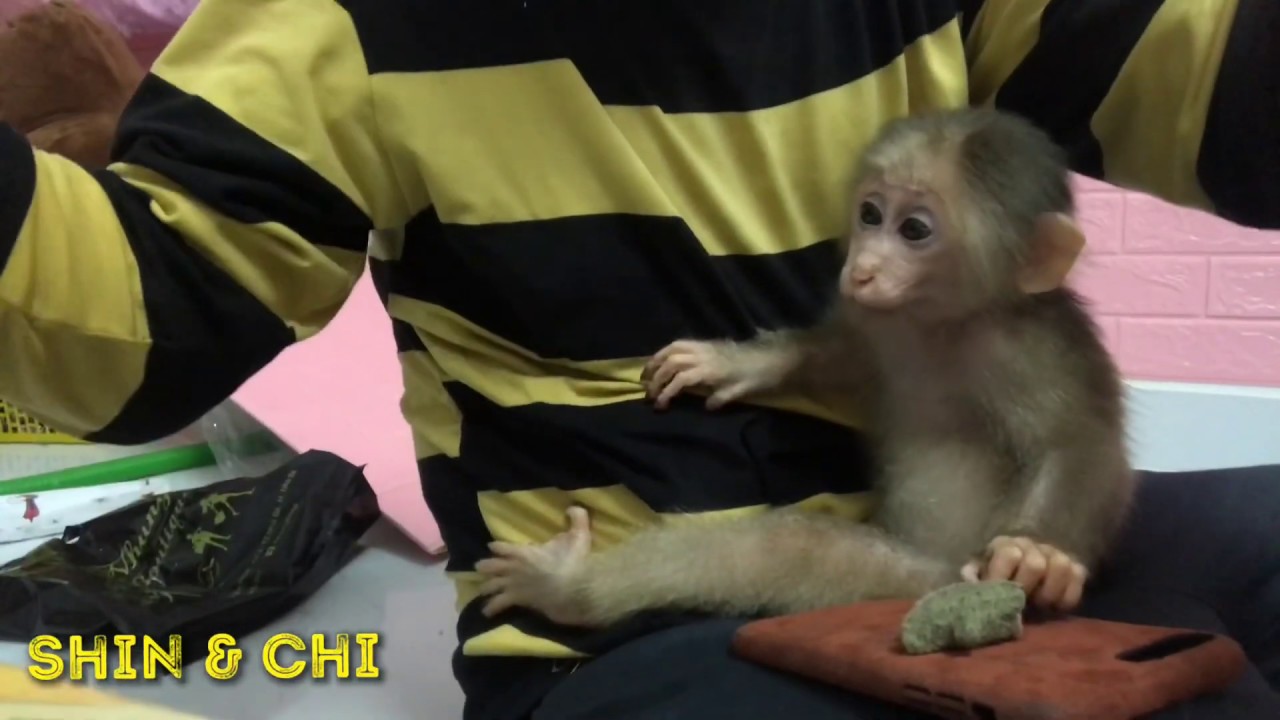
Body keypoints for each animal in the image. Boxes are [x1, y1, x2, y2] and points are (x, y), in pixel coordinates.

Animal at [474, 108, 1136, 630]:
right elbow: (847, 353)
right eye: (870, 214)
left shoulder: (1028, 348)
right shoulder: (881, 324)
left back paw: (568, 589)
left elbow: (1075, 441)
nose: (863, 268)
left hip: (928, 580)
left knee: (790, 549)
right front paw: (741, 363)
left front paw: (1038, 552)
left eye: (914, 230)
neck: (942, 324)